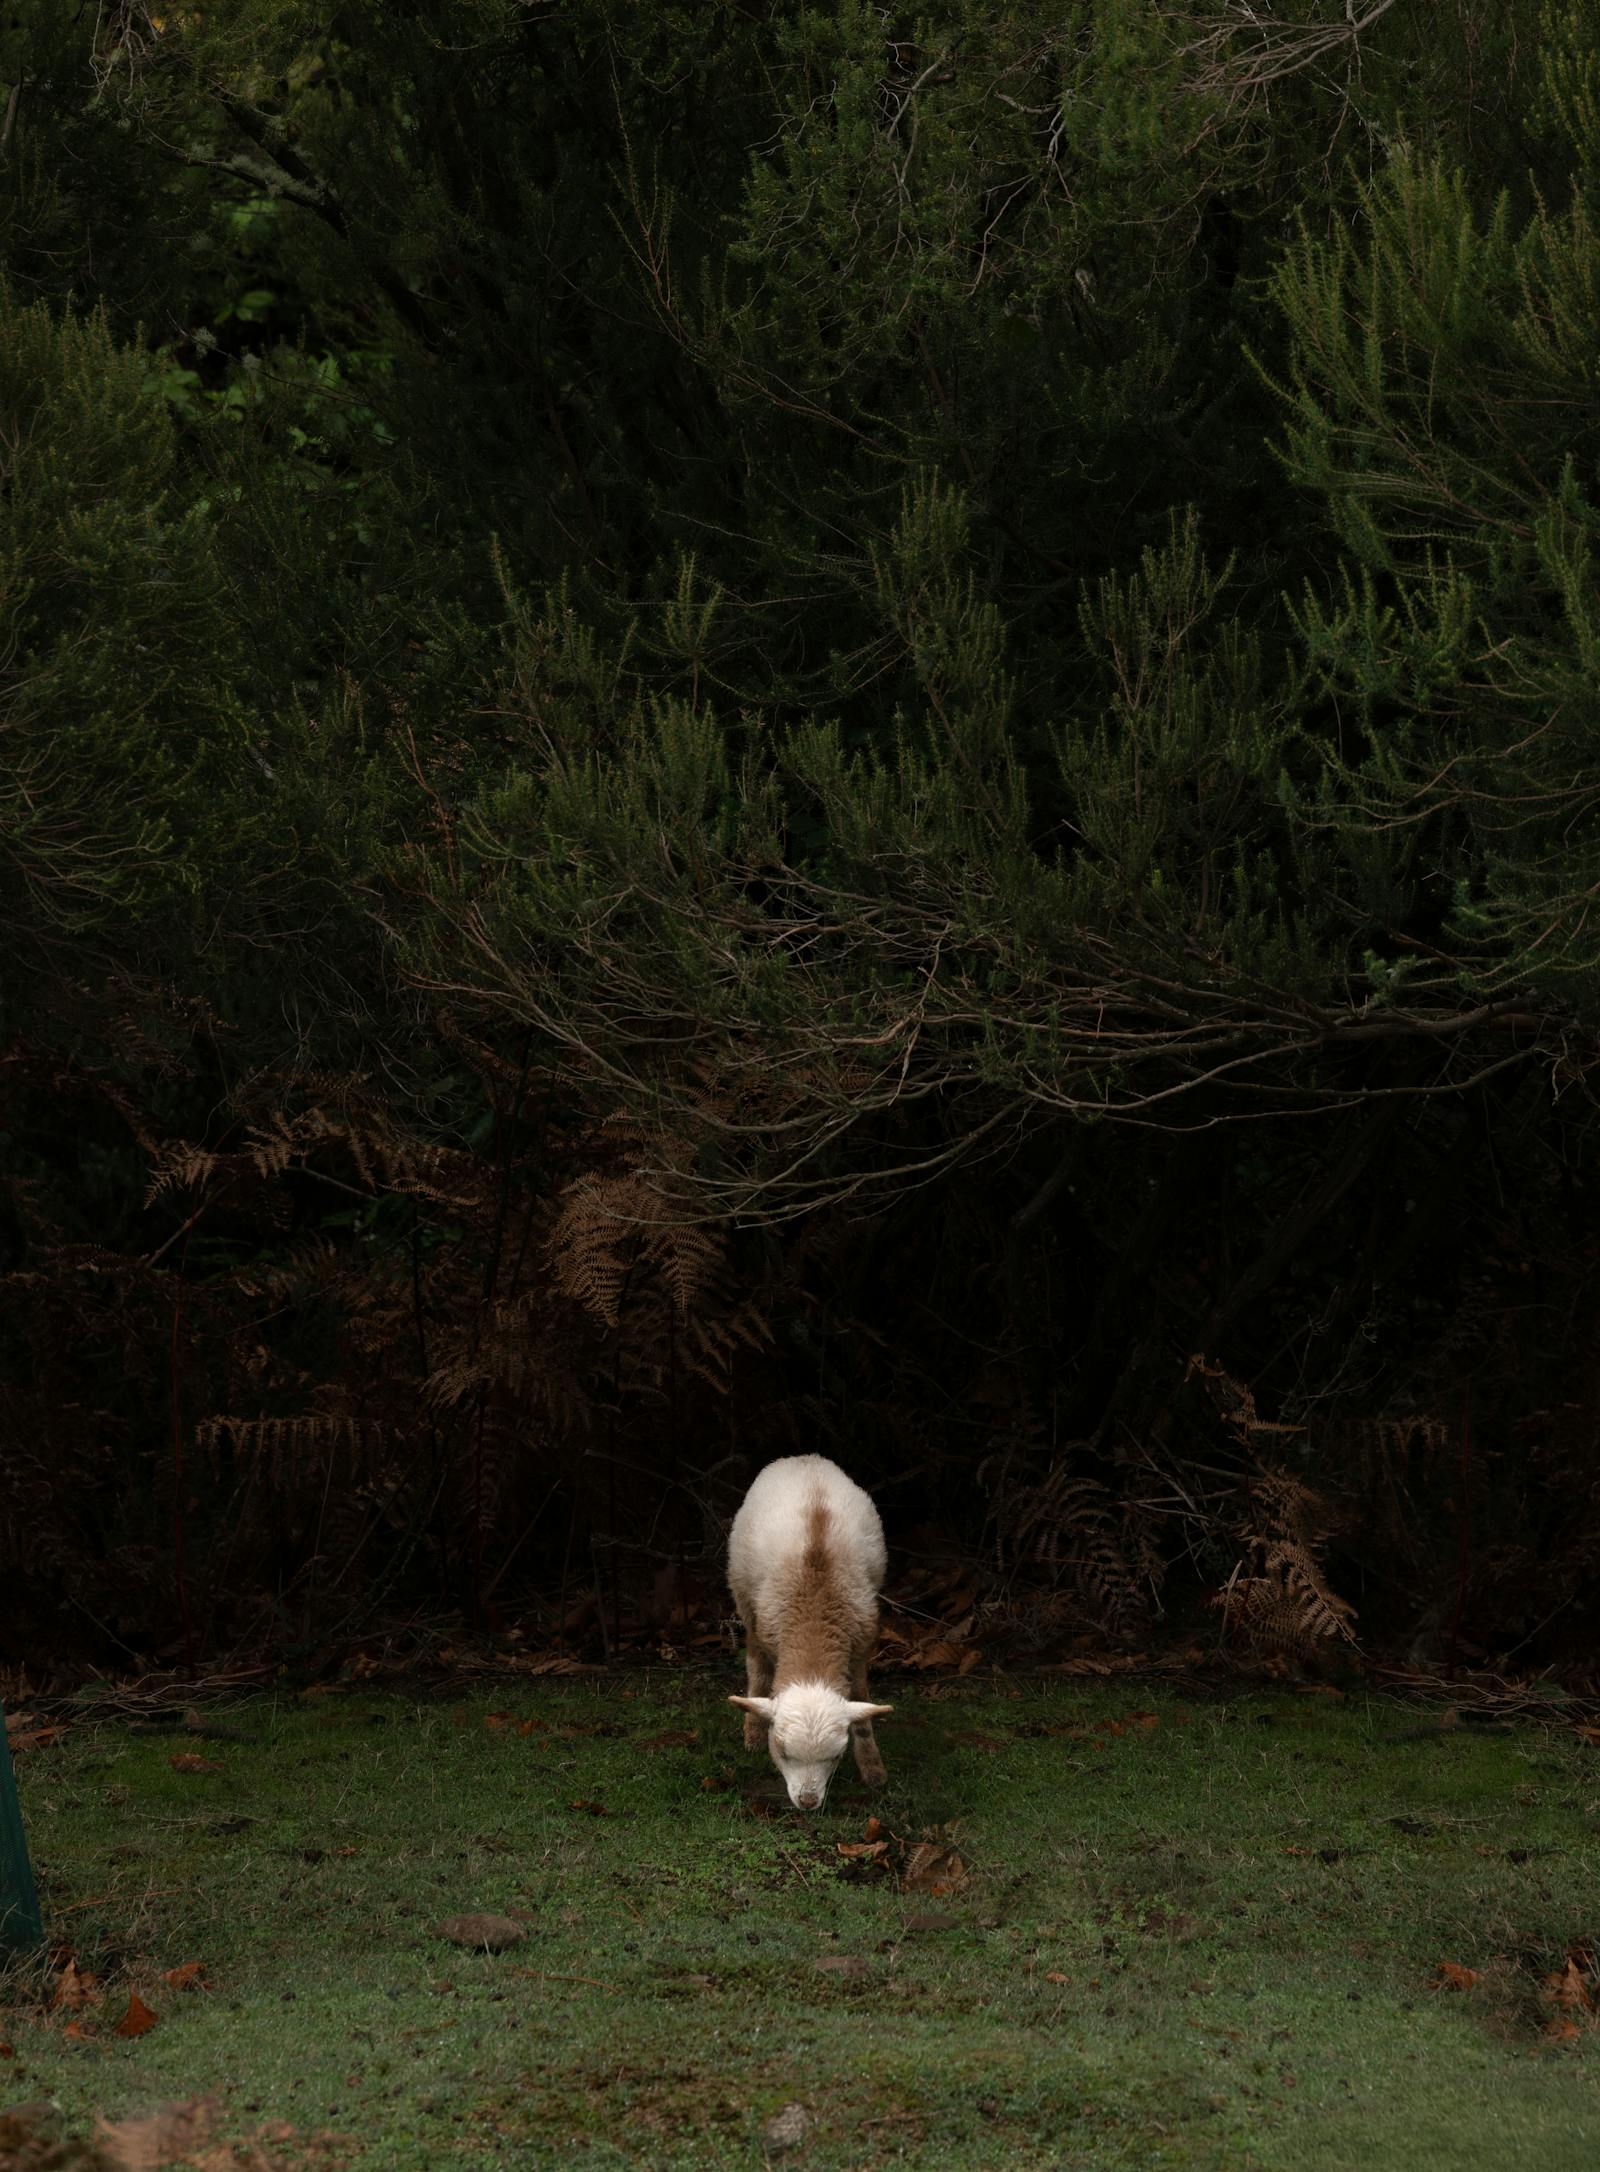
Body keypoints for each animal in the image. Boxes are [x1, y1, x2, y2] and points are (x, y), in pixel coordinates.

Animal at [726, 1454, 891, 1810]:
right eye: (782, 1752)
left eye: (836, 1757)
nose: (808, 1801)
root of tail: (804, 1459)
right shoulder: (766, 1625)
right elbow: (760, 1670)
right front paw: (756, 1730)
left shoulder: (862, 1644)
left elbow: (861, 1705)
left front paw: (872, 1767)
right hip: (743, 1593)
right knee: (755, 1663)